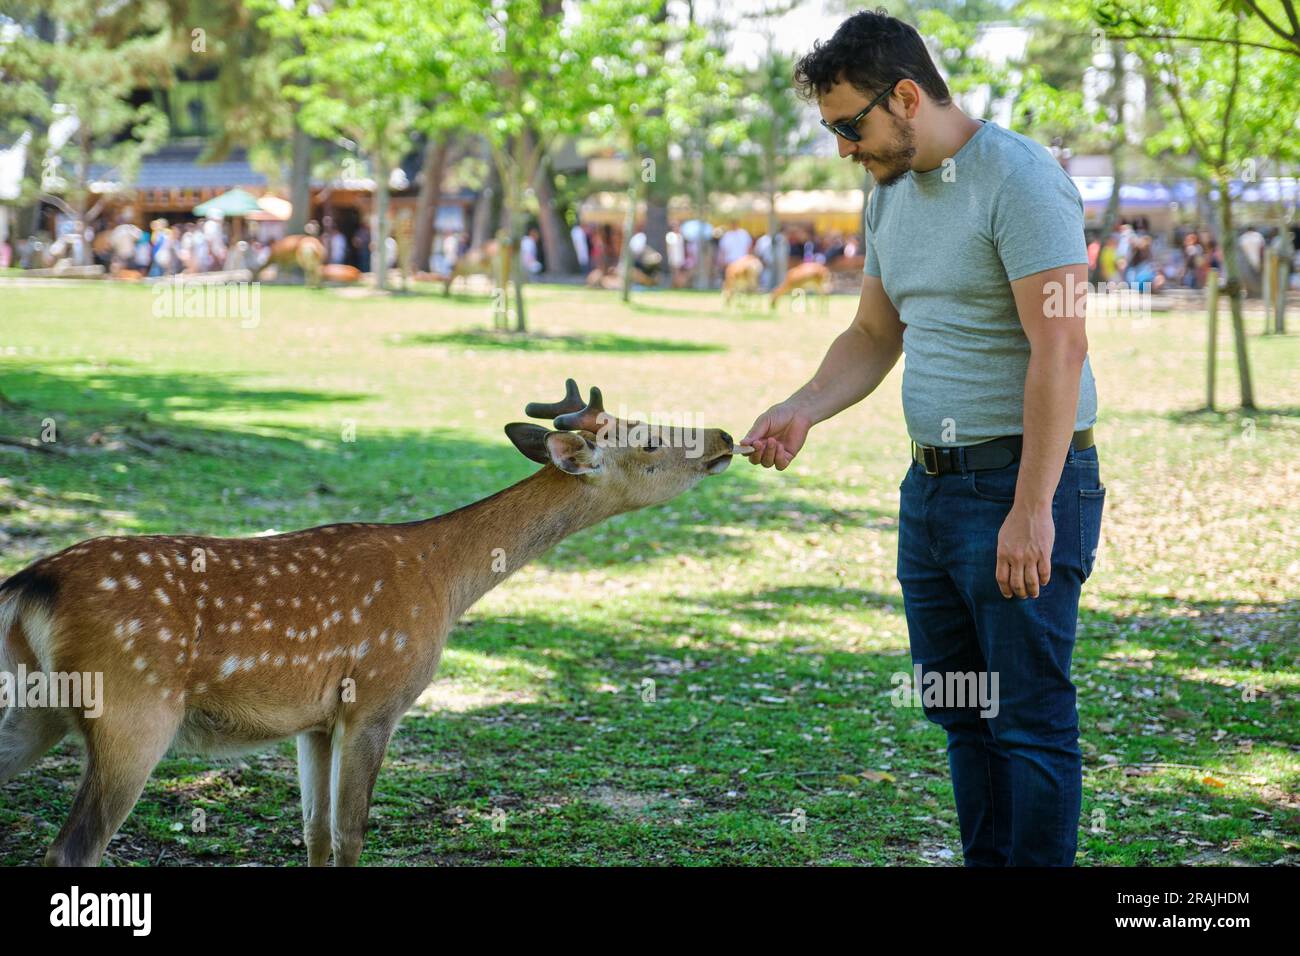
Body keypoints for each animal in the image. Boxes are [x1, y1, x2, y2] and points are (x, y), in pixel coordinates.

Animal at [0, 381, 741, 867]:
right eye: (650, 439)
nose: (726, 436)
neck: (444, 584)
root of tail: (26, 587)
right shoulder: (377, 697)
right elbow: (353, 832)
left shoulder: (314, 720)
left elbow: (316, 834)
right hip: (134, 711)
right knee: (69, 851)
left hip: (33, 709)